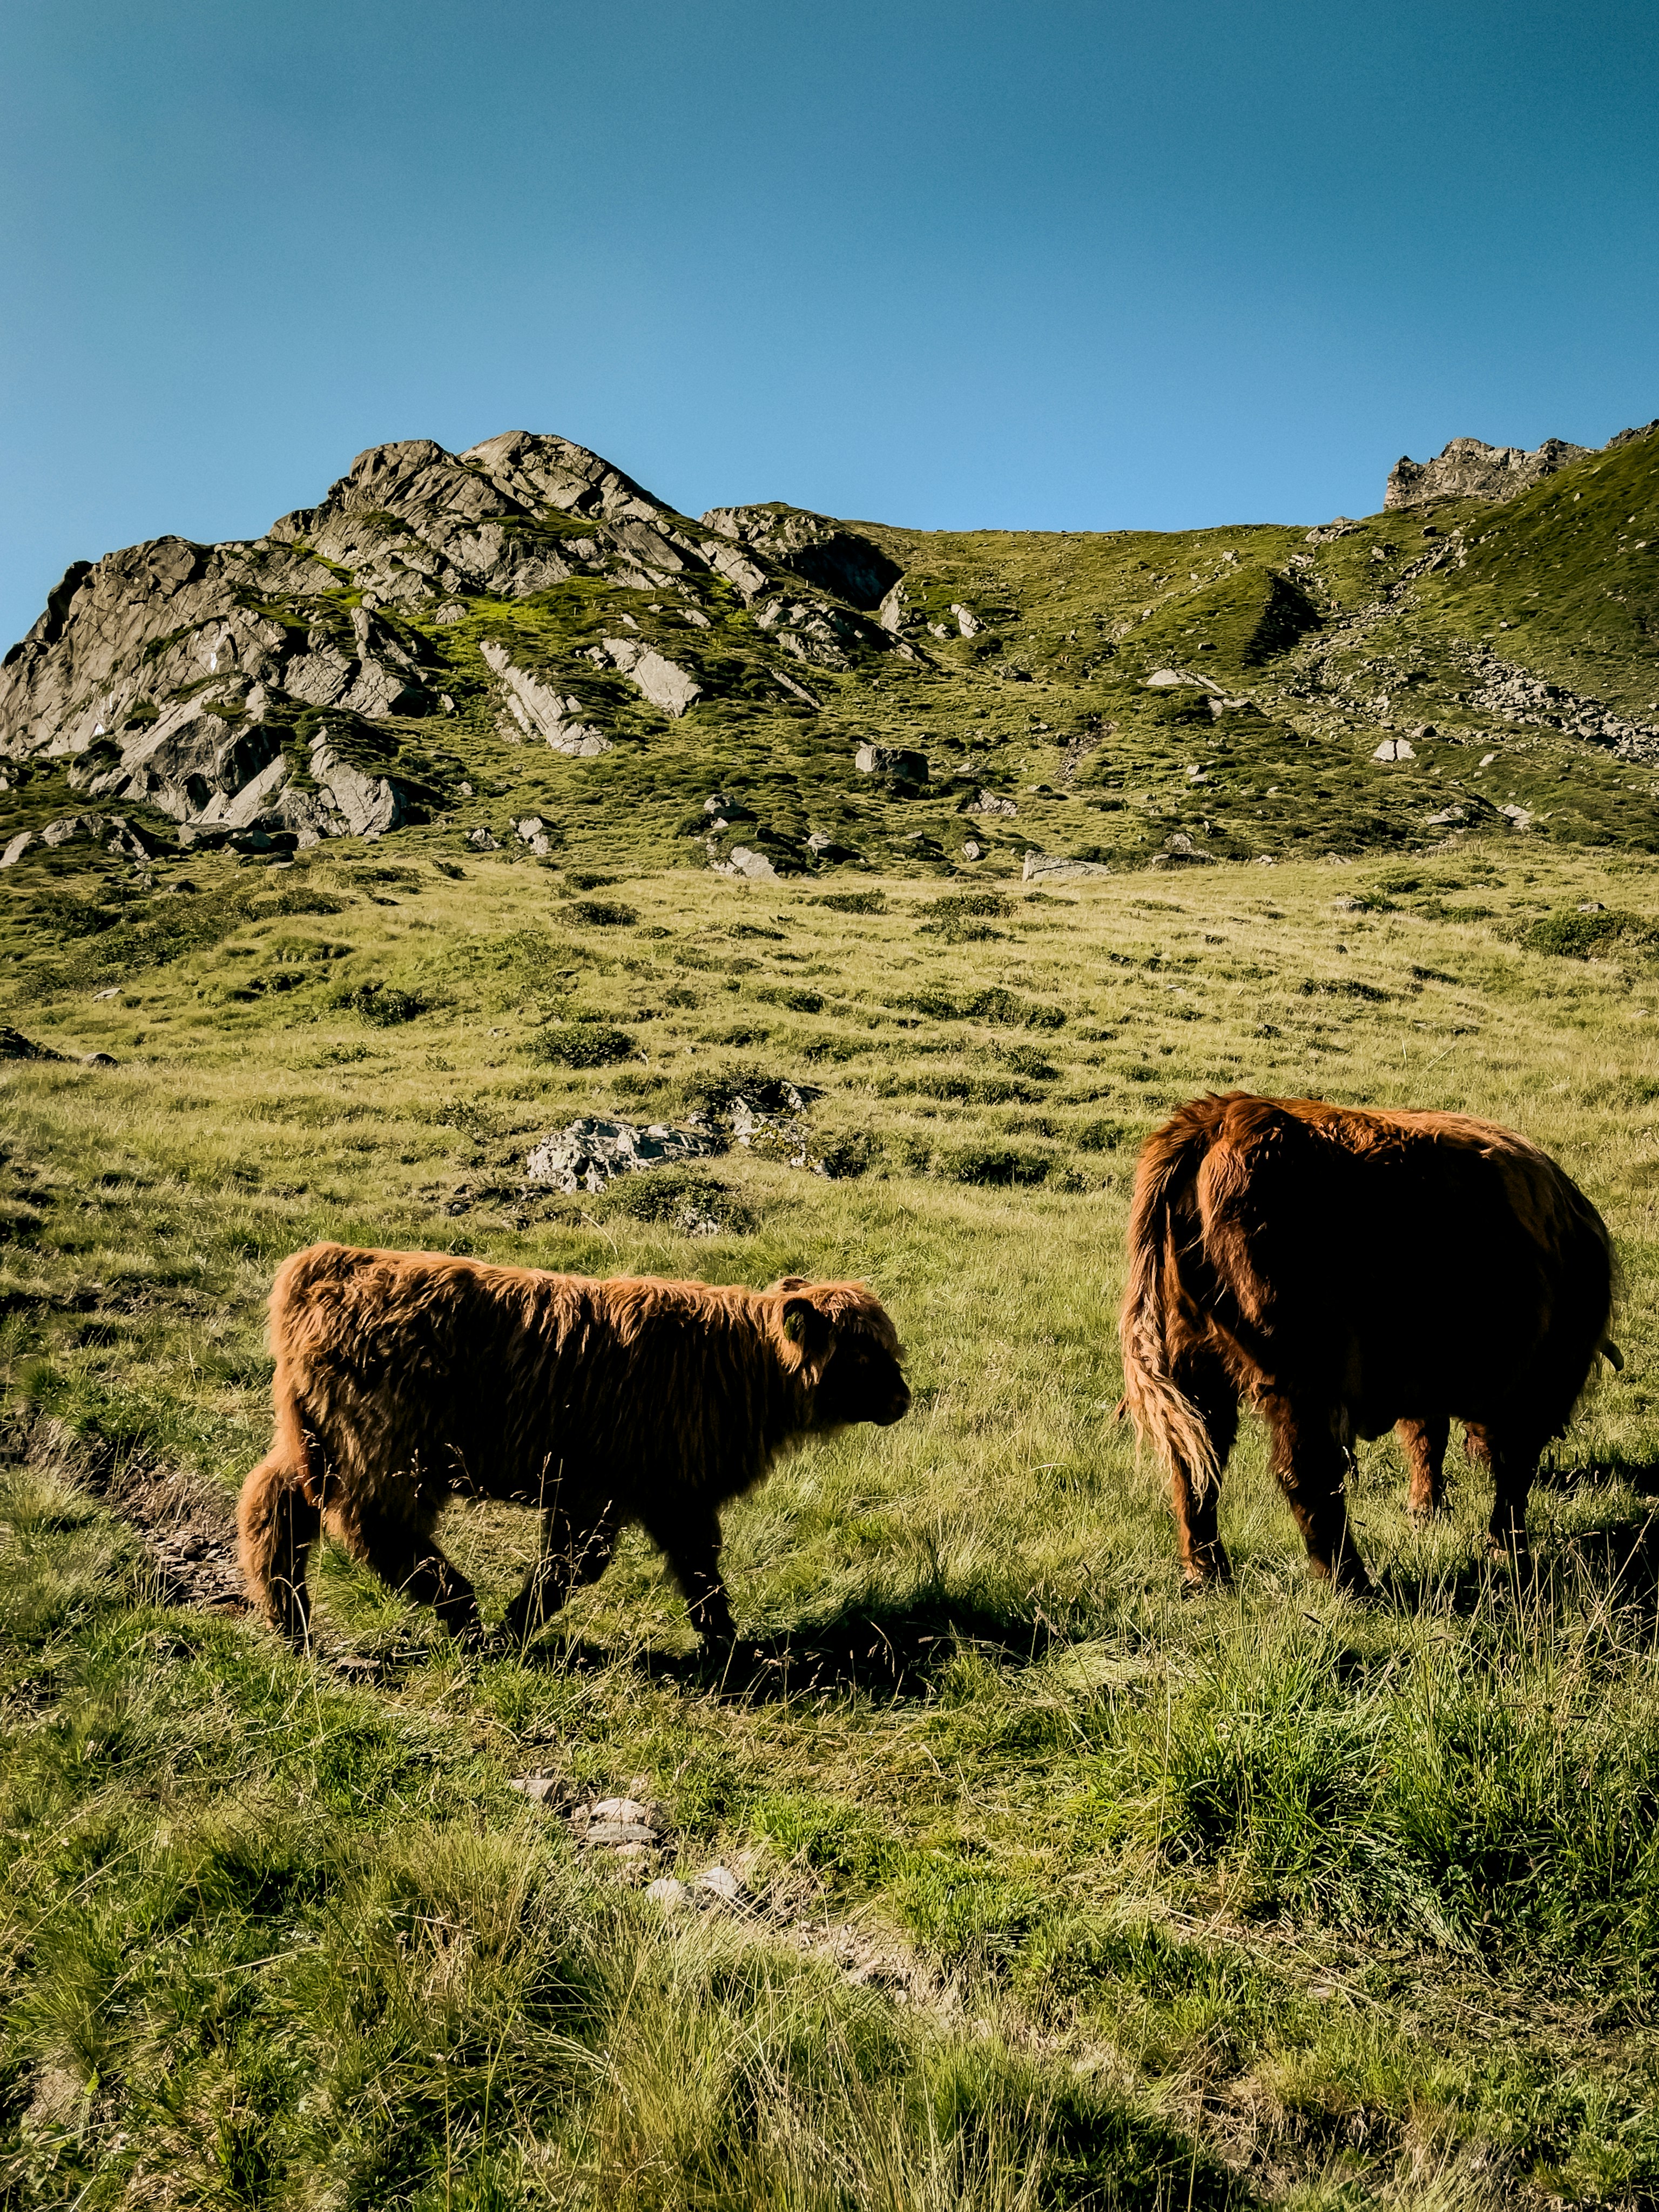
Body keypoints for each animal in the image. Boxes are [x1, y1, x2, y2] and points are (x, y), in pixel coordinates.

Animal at [237, 1242, 910, 1654]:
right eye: (861, 1355)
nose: (904, 1397)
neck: (740, 1368)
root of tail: (329, 1263)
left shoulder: (675, 1495)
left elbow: (700, 1571)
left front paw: (724, 1644)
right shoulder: (597, 1493)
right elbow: (572, 1569)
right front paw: (512, 1633)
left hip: (315, 1441)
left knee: (274, 1506)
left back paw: (291, 1625)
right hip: (384, 1452)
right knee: (375, 1528)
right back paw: (463, 1615)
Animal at [1118, 1093, 1618, 1596]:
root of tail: (1221, 1116)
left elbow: (1427, 1438)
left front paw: (1427, 1510)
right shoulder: (1537, 1388)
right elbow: (1513, 1472)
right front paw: (1508, 1550)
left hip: (1195, 1365)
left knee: (1196, 1464)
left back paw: (1208, 1573)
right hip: (1304, 1374)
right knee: (1308, 1474)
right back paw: (1352, 1582)